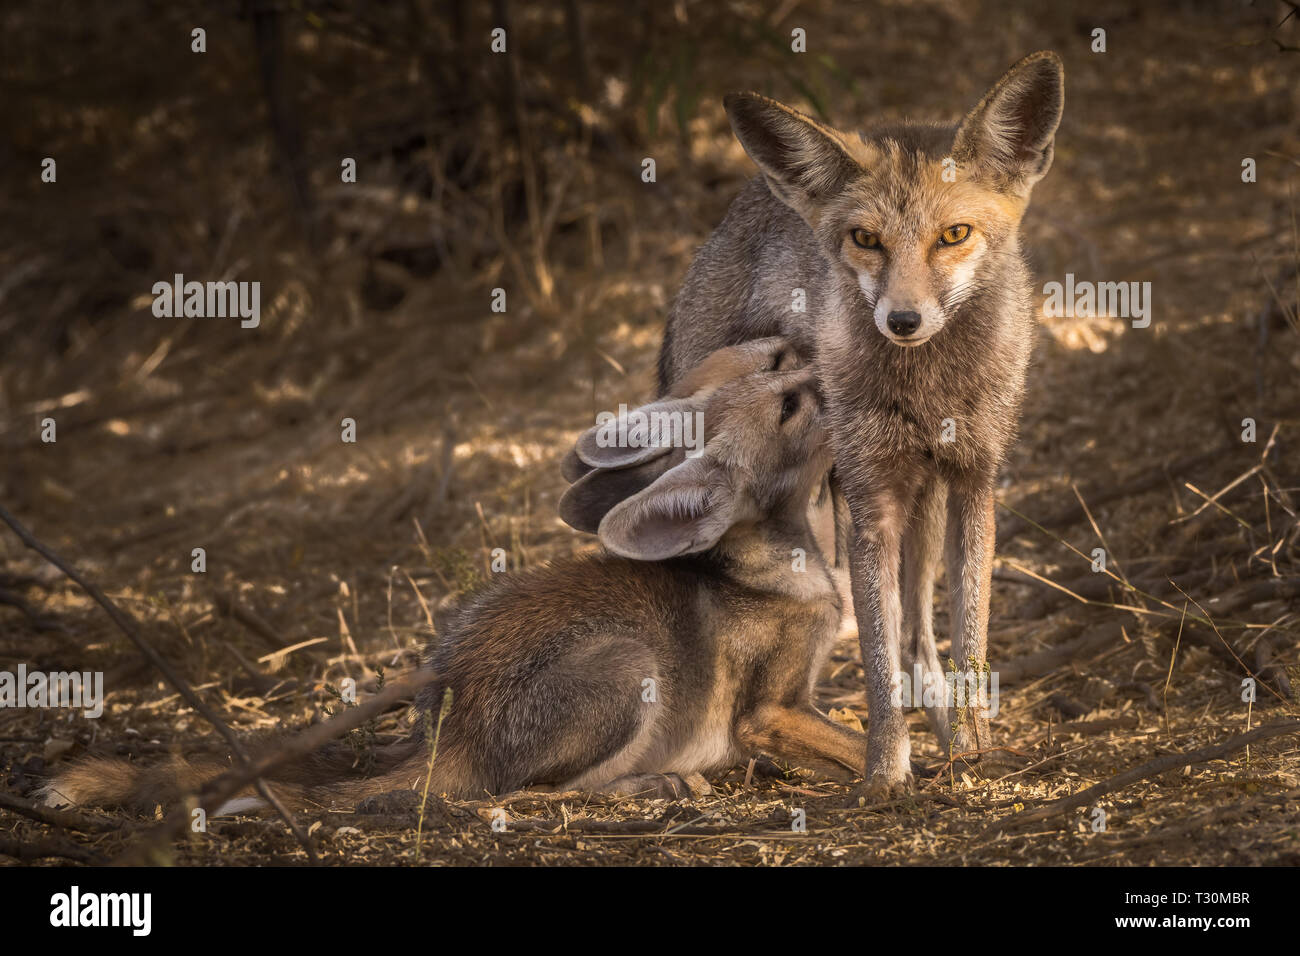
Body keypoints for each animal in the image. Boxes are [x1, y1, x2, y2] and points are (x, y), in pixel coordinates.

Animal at [41, 338, 865, 812]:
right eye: (790, 401)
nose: (825, 345)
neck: (783, 570)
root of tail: (450, 726)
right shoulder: (769, 709)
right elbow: (877, 745)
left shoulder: (797, 705)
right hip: (631, 669)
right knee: (535, 790)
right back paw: (658, 784)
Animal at [655, 52, 1065, 796]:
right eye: (866, 240)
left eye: (954, 235)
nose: (902, 320)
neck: (930, 391)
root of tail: (741, 207)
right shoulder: (871, 498)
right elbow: (875, 664)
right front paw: (885, 774)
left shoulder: (974, 484)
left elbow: (966, 638)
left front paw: (971, 753)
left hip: (922, 503)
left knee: (919, 640)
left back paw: (946, 731)